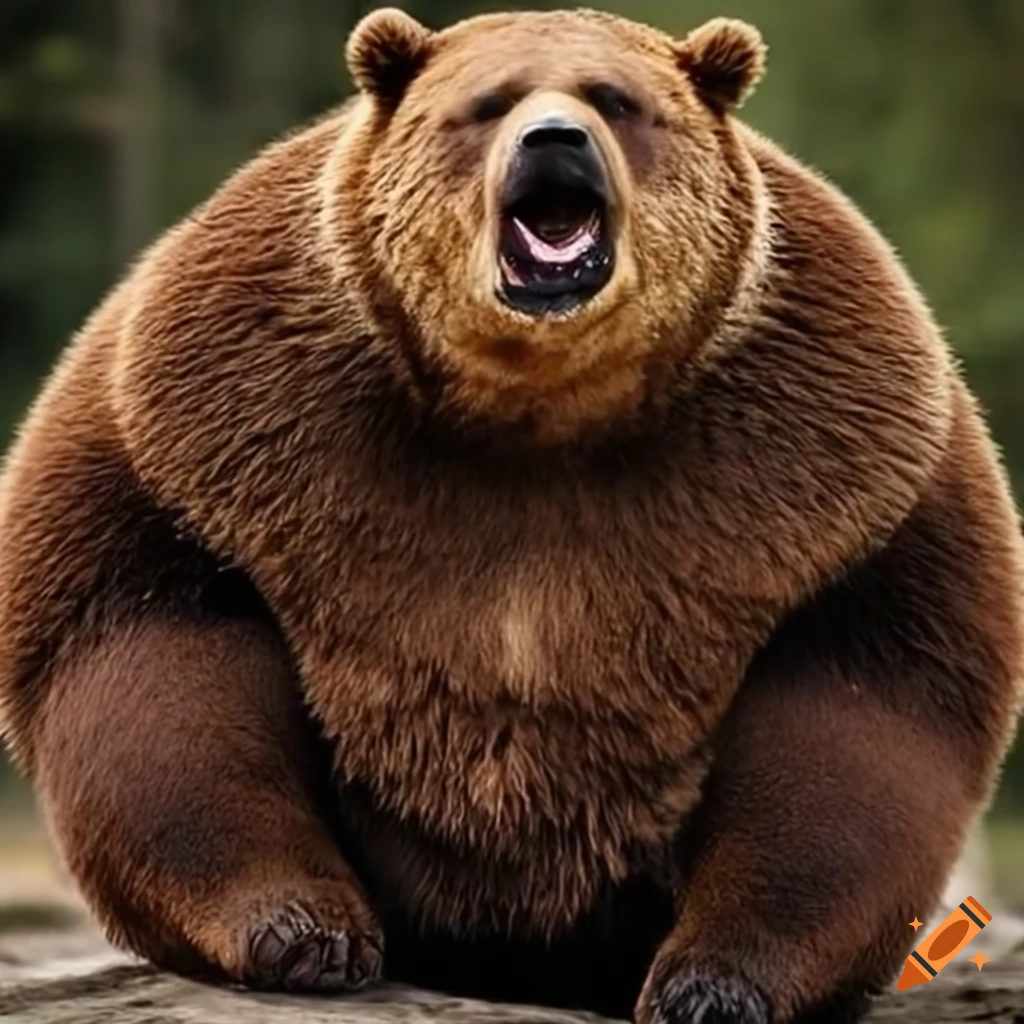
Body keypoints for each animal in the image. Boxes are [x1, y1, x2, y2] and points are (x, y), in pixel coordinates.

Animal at [1, 6, 1022, 1023]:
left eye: (618, 99)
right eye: (488, 103)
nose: (555, 141)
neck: (538, 410)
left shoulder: (838, 497)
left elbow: (851, 737)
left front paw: (712, 984)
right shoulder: (209, 454)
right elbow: (165, 686)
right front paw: (306, 934)